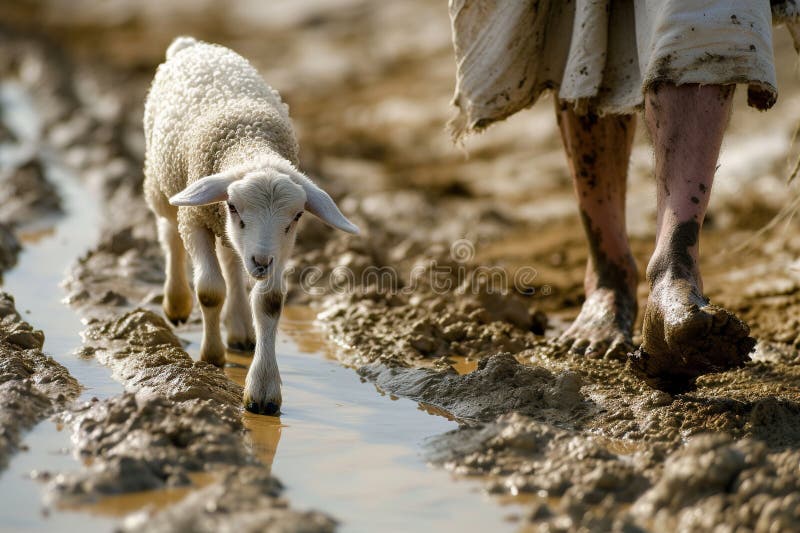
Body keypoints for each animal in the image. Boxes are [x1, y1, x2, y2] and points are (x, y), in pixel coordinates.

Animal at [143, 36, 359, 415]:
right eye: (233, 206)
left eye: (297, 217)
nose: (260, 262)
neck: (248, 143)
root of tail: (193, 45)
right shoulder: (195, 221)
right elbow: (210, 290)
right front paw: (211, 357)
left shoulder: (282, 247)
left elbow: (270, 301)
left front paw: (262, 392)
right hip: (163, 186)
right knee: (169, 235)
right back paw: (177, 302)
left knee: (230, 259)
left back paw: (241, 330)